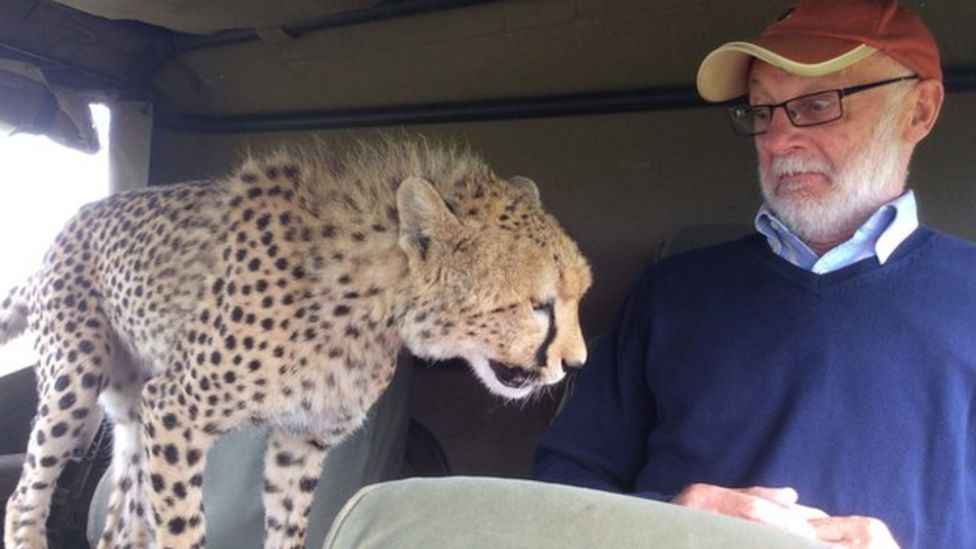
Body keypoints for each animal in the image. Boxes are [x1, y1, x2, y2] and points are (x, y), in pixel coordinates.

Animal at [1, 138, 592, 549]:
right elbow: (183, 527)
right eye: (538, 305)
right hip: (75, 379)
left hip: (128, 414)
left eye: (578, 296)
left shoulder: (299, 440)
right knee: (23, 500)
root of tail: (69, 223)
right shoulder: (174, 410)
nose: (576, 362)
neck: (372, 302)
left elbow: (287, 525)